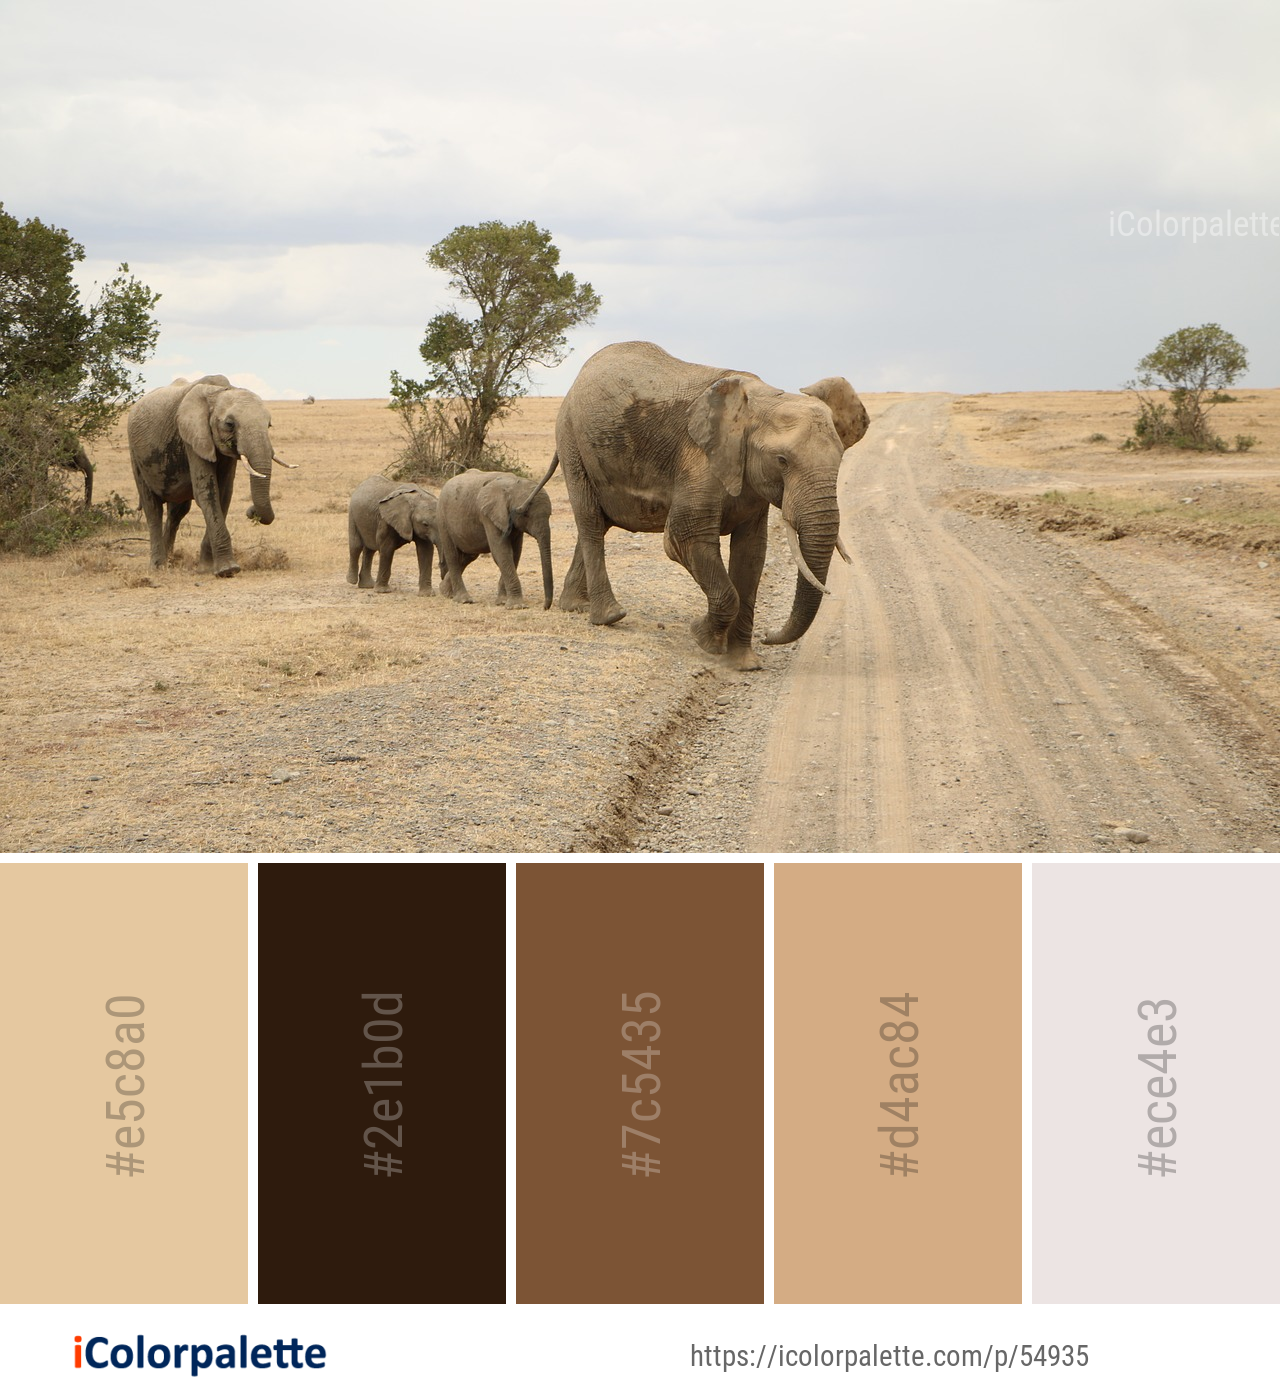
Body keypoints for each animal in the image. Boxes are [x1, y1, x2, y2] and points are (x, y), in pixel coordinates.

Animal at [127, 375, 294, 576]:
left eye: (269, 425)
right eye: (230, 424)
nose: (251, 512)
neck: (218, 392)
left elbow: (224, 494)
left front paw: (207, 568)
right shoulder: (193, 437)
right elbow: (207, 493)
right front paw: (228, 570)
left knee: (177, 512)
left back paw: (169, 562)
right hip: (135, 455)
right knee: (152, 507)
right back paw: (158, 567)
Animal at [436, 469, 554, 609]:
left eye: (549, 515)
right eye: (526, 514)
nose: (545, 607)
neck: (512, 485)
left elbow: (514, 554)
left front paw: (502, 602)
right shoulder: (488, 516)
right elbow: (502, 553)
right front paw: (516, 606)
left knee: (468, 556)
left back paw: (445, 591)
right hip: (442, 518)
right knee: (453, 555)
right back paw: (463, 600)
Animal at [530, 341, 869, 670]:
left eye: (841, 458)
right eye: (782, 460)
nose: (768, 635)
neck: (758, 402)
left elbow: (751, 553)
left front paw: (743, 663)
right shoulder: (698, 459)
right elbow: (685, 538)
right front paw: (702, 638)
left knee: (599, 524)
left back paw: (575, 606)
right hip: (572, 441)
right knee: (589, 520)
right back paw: (609, 616)